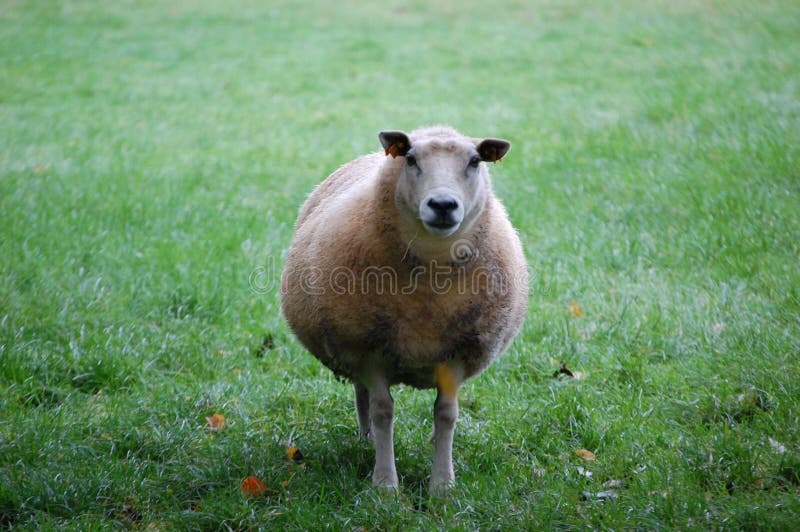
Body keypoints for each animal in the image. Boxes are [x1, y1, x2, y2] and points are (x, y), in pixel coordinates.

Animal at [280, 125, 528, 491]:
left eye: (475, 161)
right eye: (410, 158)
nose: (443, 204)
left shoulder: (458, 351)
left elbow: (446, 414)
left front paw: (442, 484)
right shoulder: (367, 347)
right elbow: (383, 411)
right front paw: (385, 484)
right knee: (362, 395)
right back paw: (366, 440)